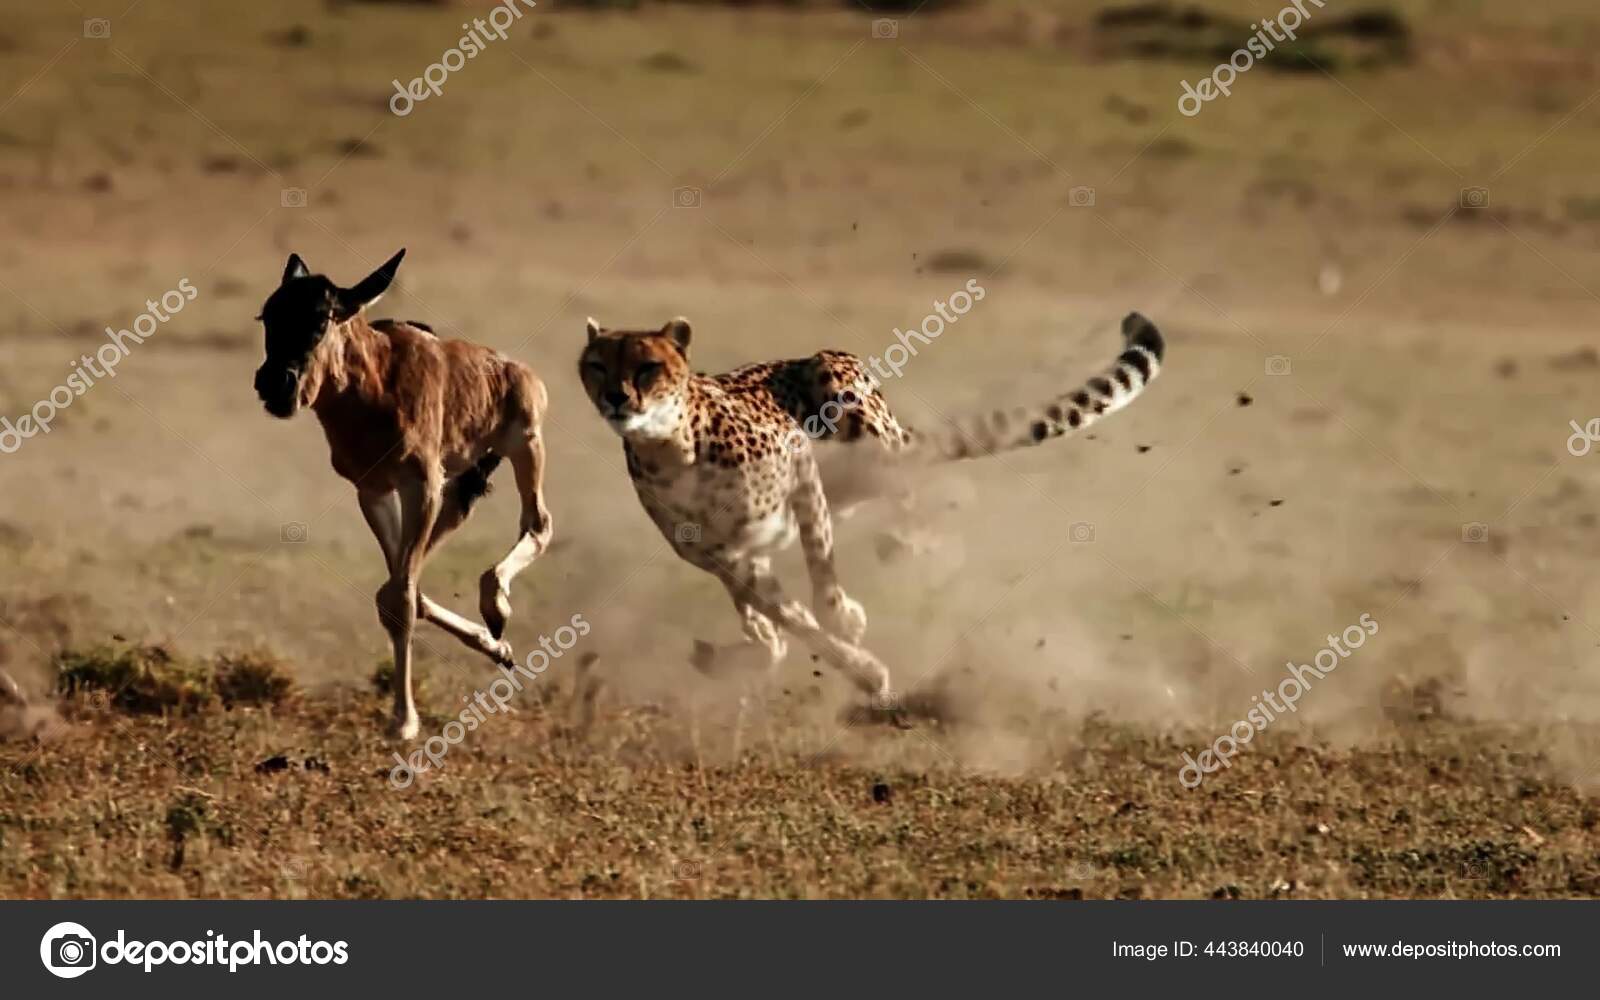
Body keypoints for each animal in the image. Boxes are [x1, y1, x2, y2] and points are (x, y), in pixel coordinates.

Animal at [576, 311, 1165, 708]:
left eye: (648, 367)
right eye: (597, 366)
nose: (617, 398)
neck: (671, 445)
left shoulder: (800, 466)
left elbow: (821, 572)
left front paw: (844, 620)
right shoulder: (722, 554)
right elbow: (789, 617)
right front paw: (857, 670)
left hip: (843, 394)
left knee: (913, 499)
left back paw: (912, 542)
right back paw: (750, 648)